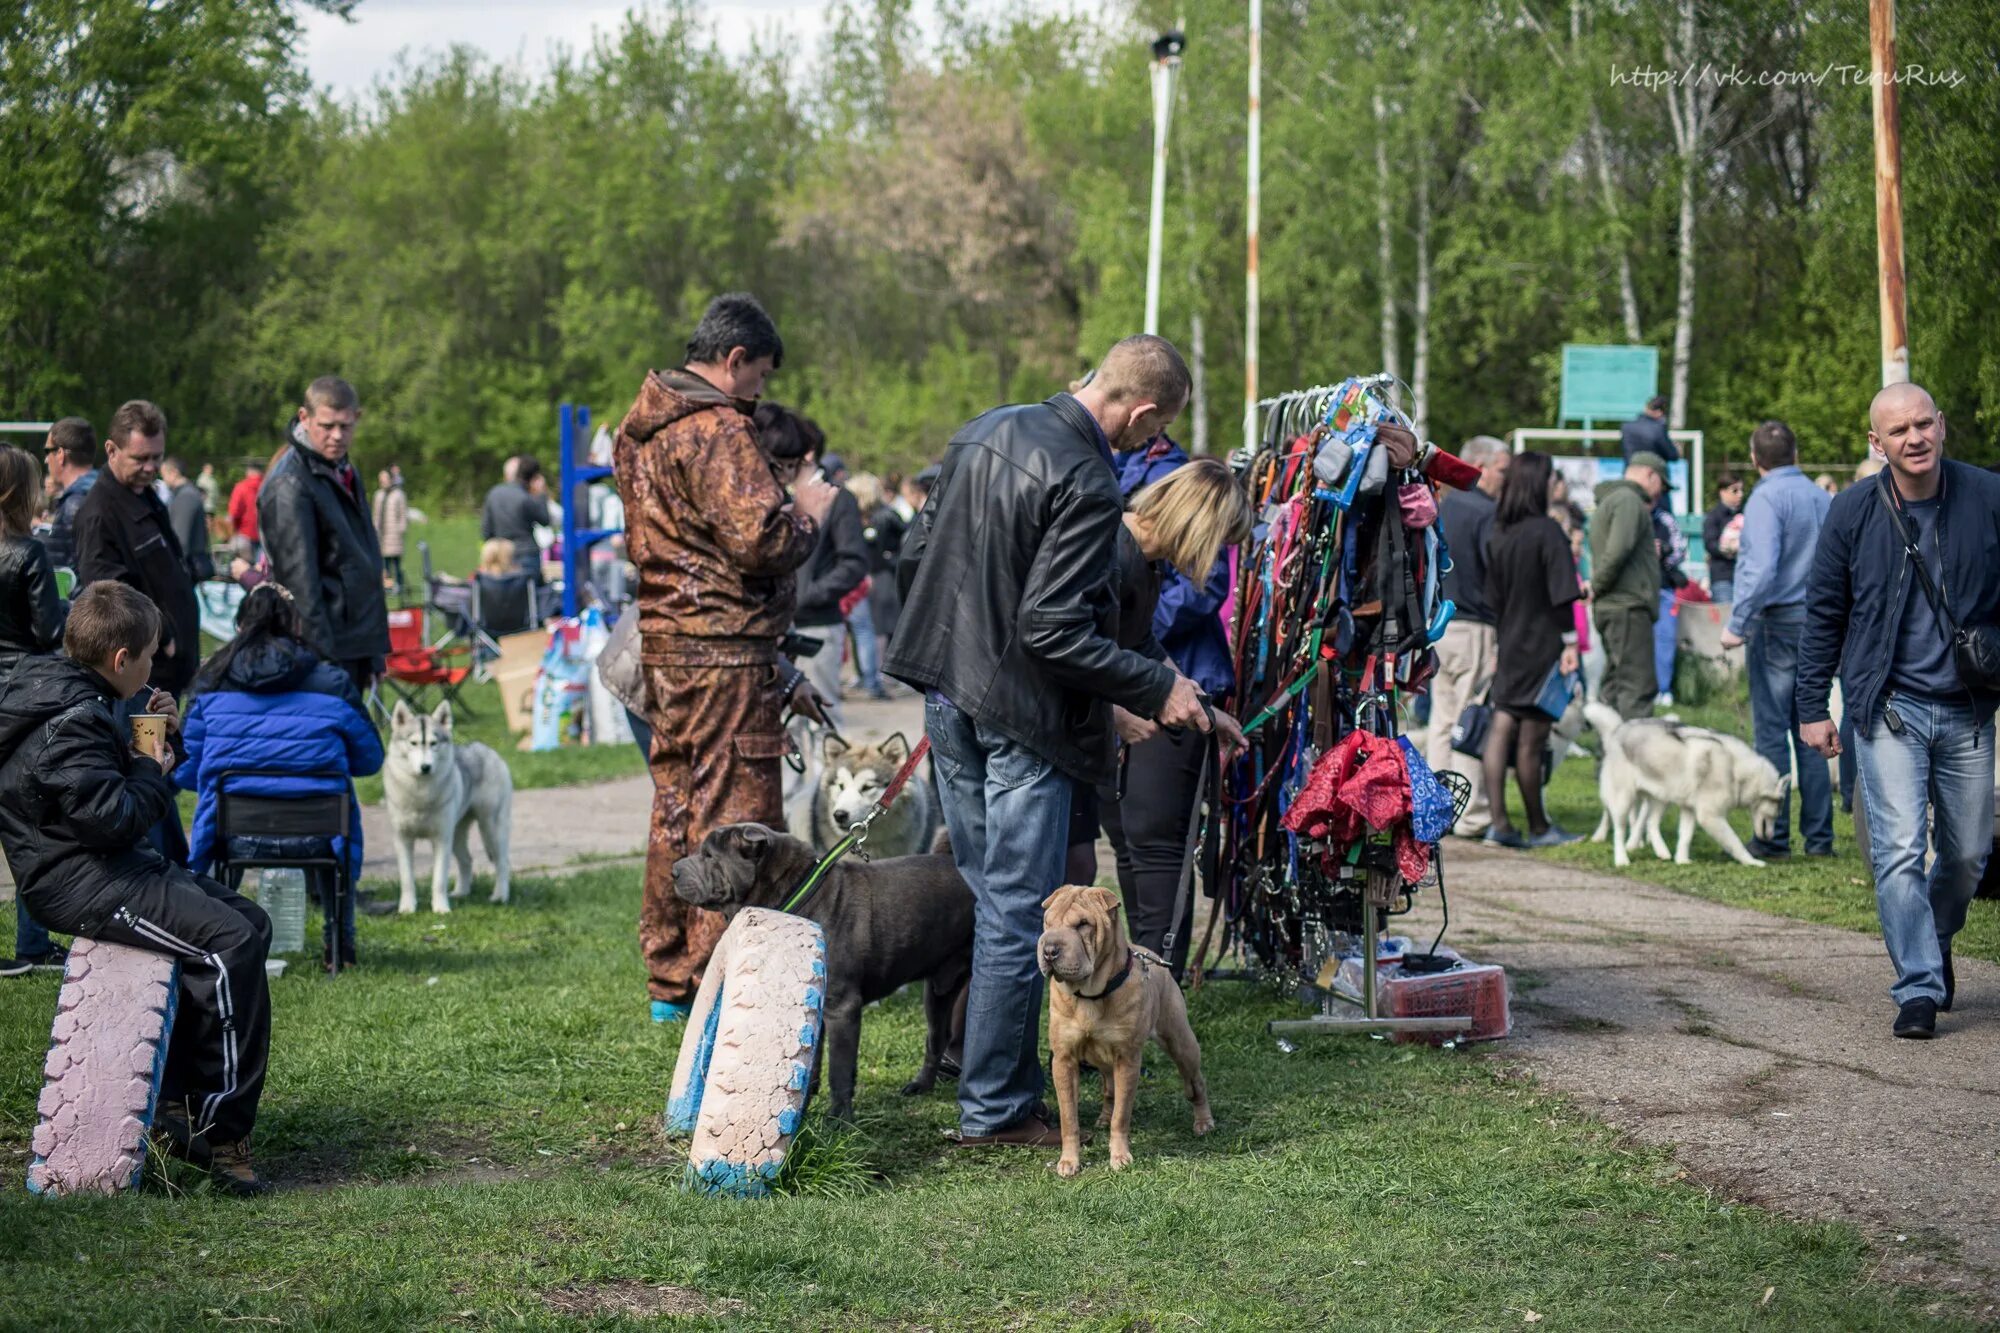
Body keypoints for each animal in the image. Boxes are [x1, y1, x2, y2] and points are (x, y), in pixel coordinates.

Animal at [1040, 880, 1208, 1176]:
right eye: (1047, 922)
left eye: (1083, 924)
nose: (1049, 950)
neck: (1091, 995)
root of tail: (1154, 956)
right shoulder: (1063, 1060)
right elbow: (1069, 1118)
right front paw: (1069, 1161)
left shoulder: (1127, 1059)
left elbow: (1122, 1114)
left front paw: (1119, 1157)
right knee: (1109, 1090)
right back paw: (1103, 1119)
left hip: (1181, 1042)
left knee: (1195, 1083)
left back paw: (1204, 1122)